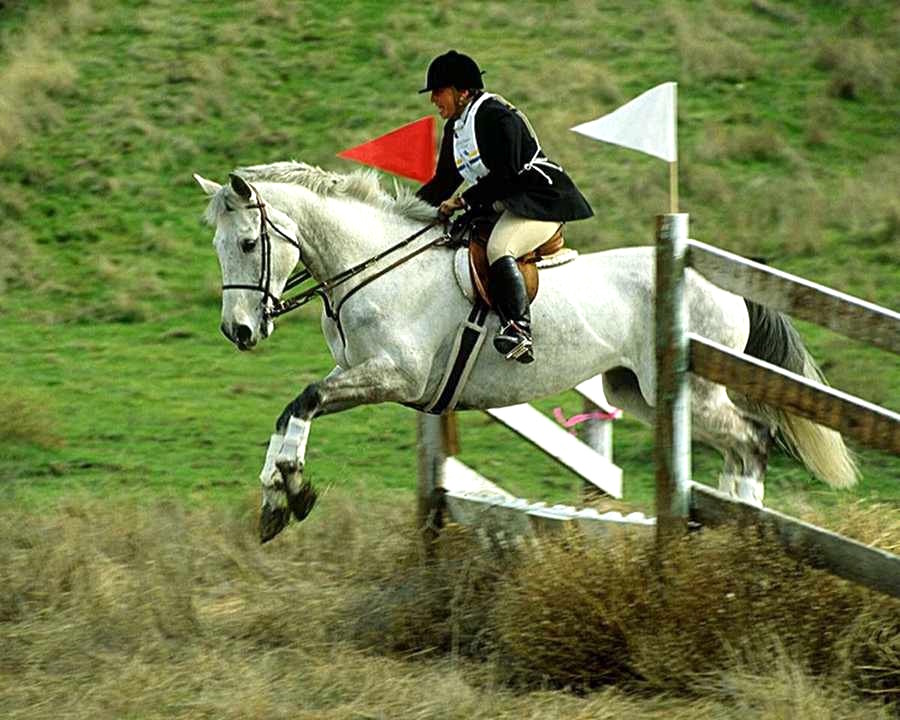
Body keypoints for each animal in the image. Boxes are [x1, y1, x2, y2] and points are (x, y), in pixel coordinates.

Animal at [193, 161, 857, 543]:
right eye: (218, 247)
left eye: (249, 244)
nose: (239, 332)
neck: (374, 264)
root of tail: (722, 285)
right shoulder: (357, 370)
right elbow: (293, 407)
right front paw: (277, 496)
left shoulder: (396, 376)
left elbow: (304, 400)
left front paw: (290, 488)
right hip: (637, 394)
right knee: (739, 445)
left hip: (692, 390)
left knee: (753, 438)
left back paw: (743, 537)